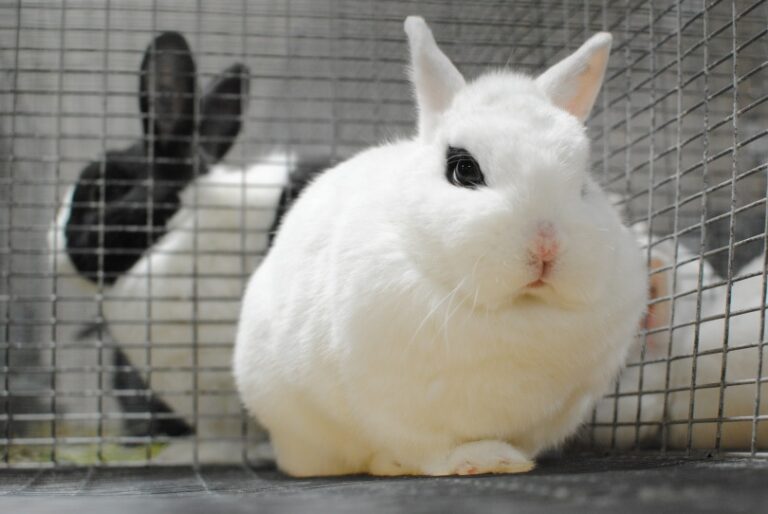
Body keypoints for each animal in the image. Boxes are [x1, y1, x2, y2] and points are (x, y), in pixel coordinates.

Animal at [233, 16, 648, 477]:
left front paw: (512, 460)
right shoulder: (396, 403)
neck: (515, 310)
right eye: (463, 169)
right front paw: (482, 460)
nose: (546, 244)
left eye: (583, 181)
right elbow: (428, 450)